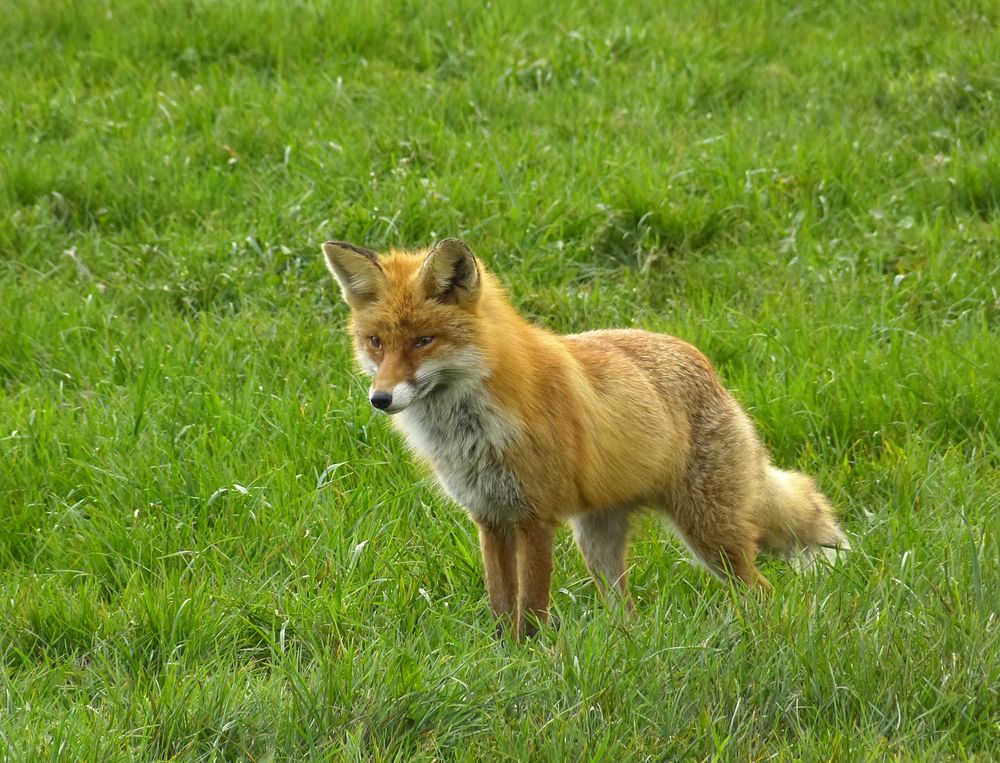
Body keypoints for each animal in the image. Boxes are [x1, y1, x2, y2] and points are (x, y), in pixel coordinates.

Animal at [322, 237, 849, 636]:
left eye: (423, 341)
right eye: (376, 343)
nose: (381, 398)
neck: (469, 431)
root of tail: (706, 364)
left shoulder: (536, 517)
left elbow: (532, 607)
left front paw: (531, 659)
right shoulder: (490, 517)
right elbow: (501, 603)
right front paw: (502, 655)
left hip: (709, 534)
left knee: (762, 589)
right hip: (597, 545)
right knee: (625, 610)